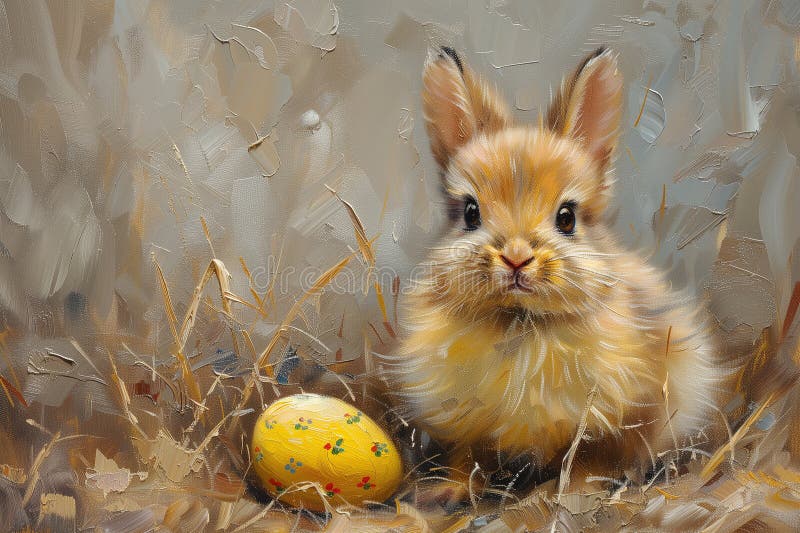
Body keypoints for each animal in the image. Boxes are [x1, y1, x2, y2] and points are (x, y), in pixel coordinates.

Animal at [389, 47, 741, 506]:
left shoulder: (616, 420)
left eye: (567, 217)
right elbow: (468, 457)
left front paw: (573, 494)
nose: (516, 258)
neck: (521, 320)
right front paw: (448, 491)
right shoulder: (467, 424)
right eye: (470, 213)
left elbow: (591, 458)